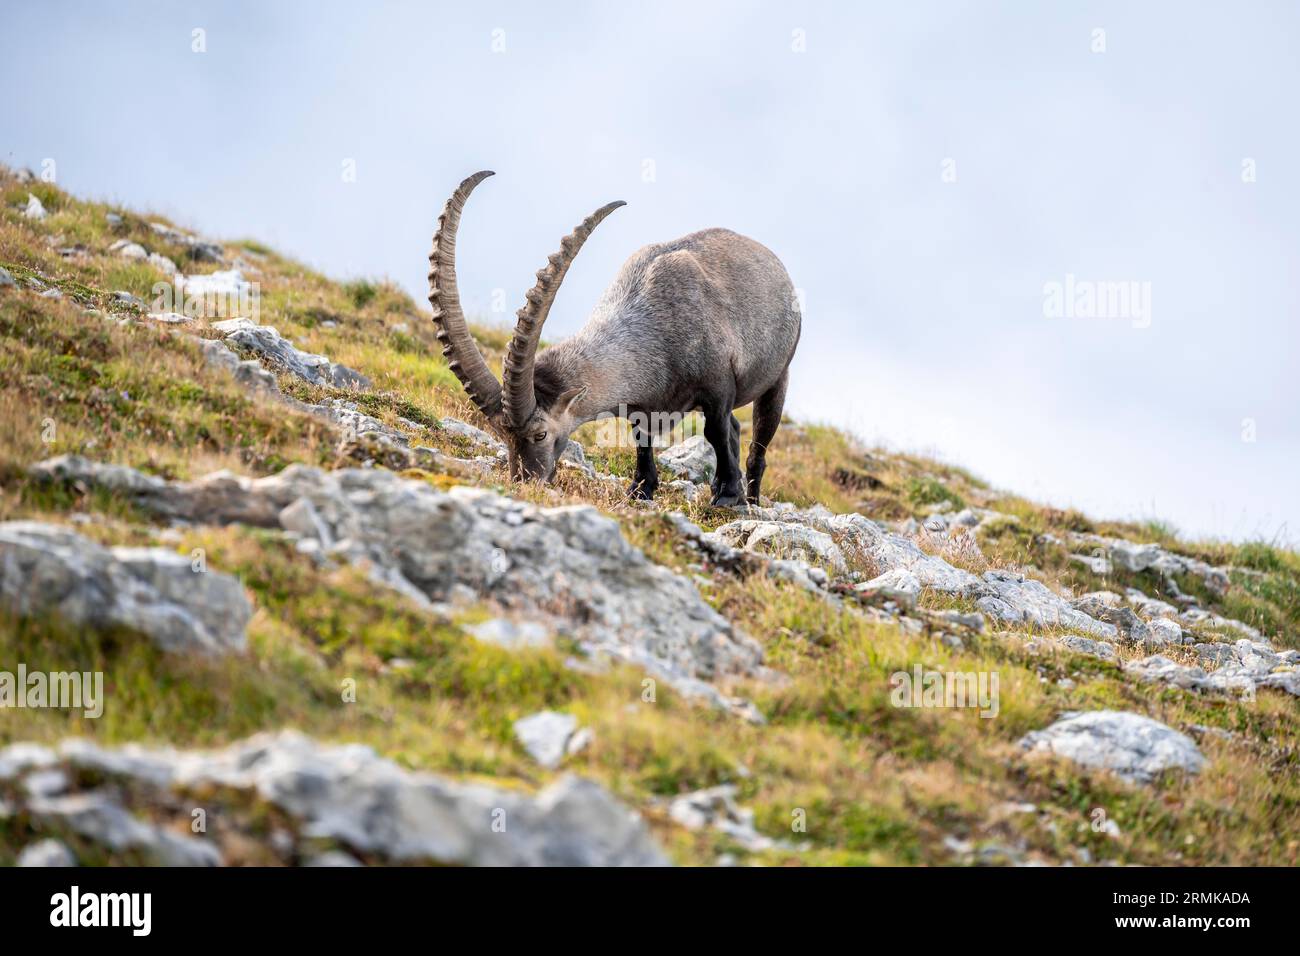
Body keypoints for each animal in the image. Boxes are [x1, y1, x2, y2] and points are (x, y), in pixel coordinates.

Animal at [428, 171, 801, 506]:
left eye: (540, 433)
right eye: (501, 433)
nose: (526, 480)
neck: (653, 335)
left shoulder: (718, 387)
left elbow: (715, 431)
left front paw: (726, 496)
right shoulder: (642, 405)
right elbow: (642, 439)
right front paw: (641, 489)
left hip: (779, 374)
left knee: (756, 439)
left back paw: (748, 497)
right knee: (737, 429)